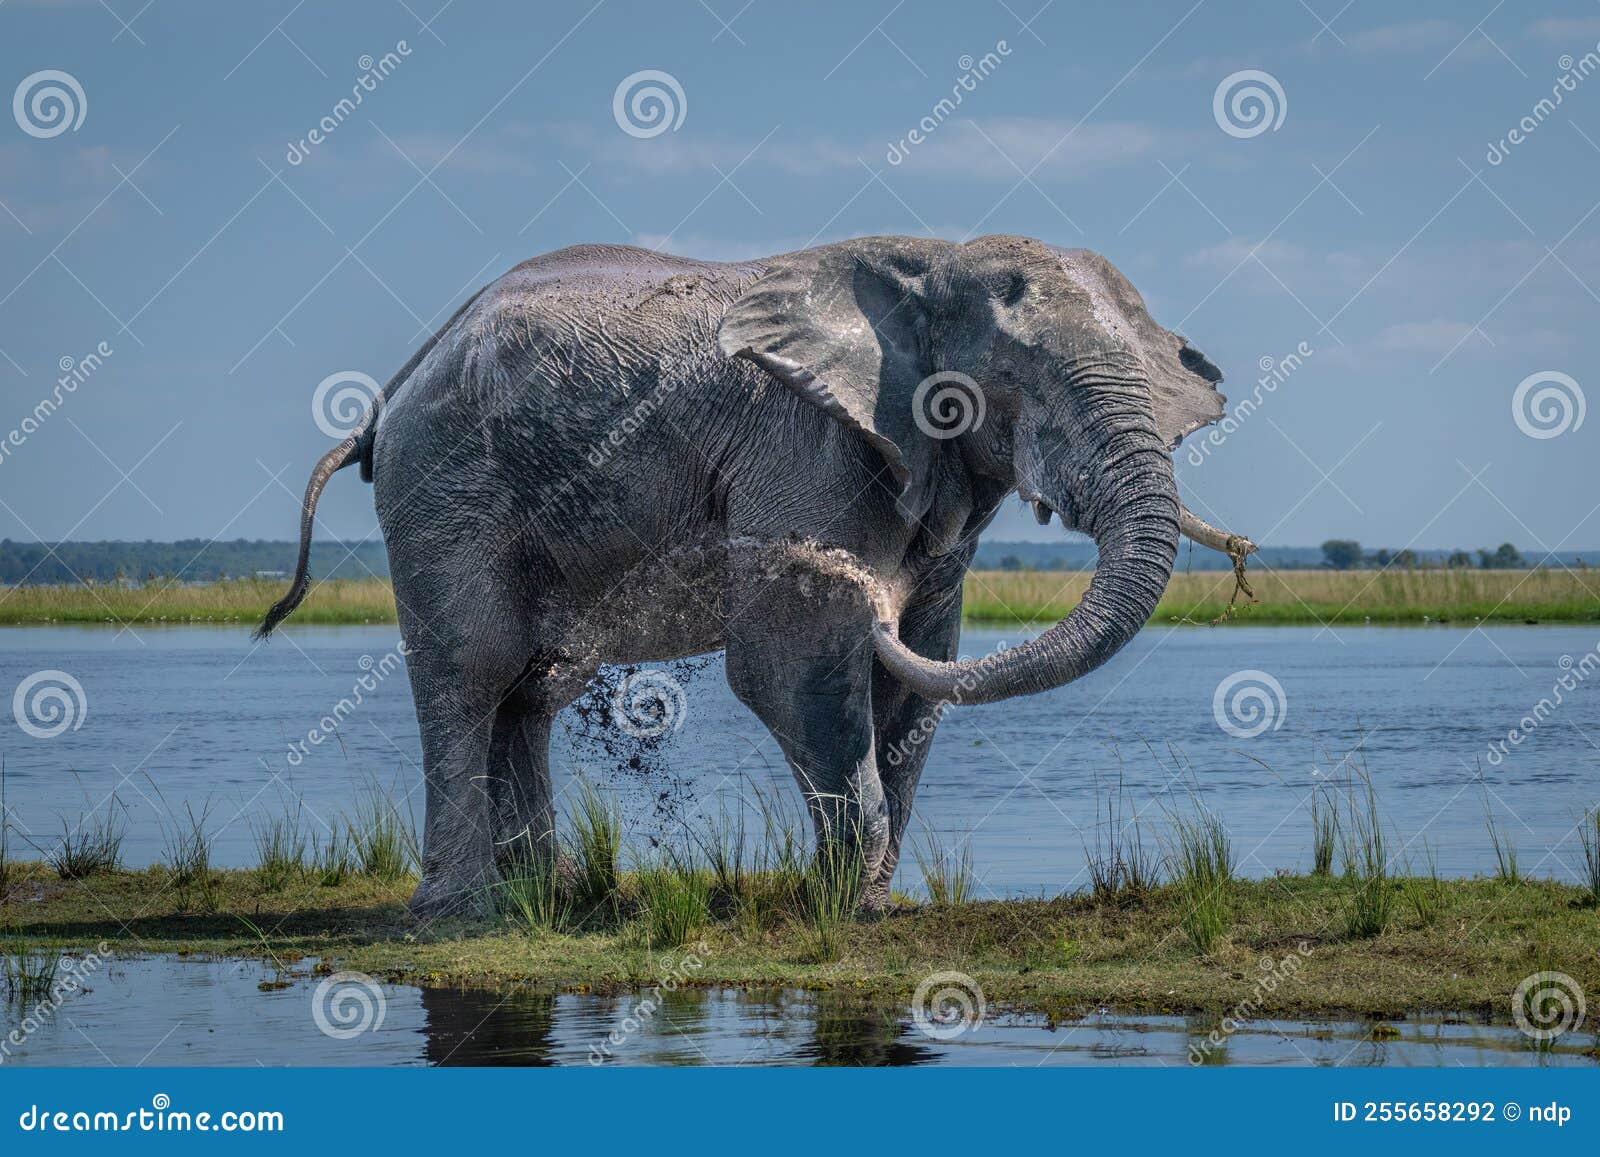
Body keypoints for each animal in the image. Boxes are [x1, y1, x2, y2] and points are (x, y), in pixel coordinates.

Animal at [257, 235, 1255, 918]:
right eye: (1017, 379)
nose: (864, 591)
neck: (930, 262)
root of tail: (390, 396)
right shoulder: (807, 447)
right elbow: (791, 661)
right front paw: (844, 904)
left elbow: (918, 674)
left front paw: (871, 900)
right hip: (447, 486)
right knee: (474, 668)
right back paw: (466, 910)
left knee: (532, 689)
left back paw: (556, 891)